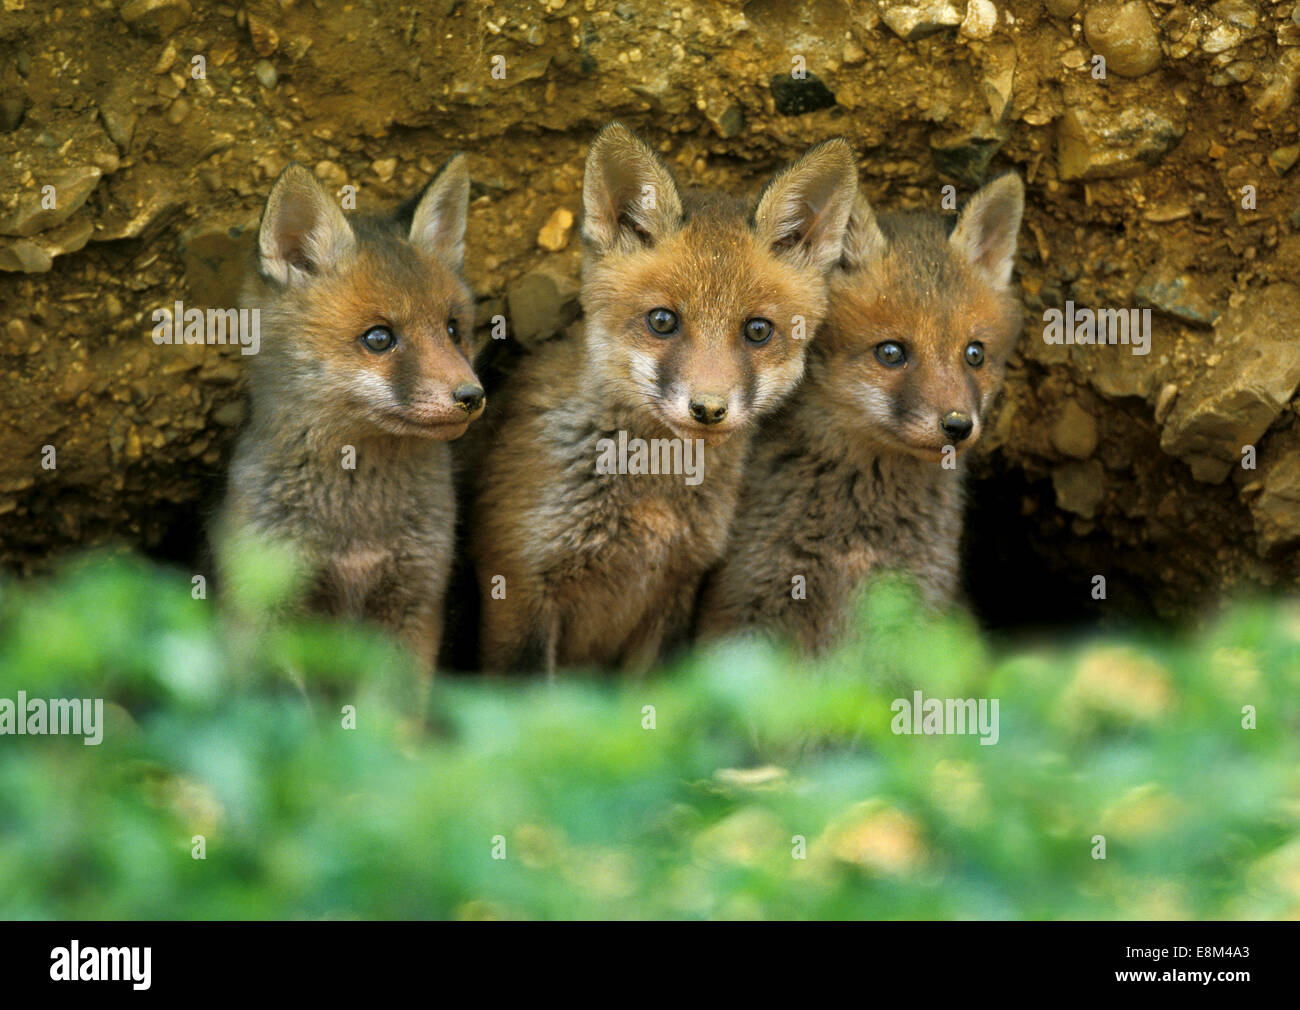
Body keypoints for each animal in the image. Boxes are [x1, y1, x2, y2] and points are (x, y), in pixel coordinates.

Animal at [212, 156, 484, 673]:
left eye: (453, 329)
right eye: (379, 338)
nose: (471, 396)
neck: (358, 529)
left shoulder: (415, 602)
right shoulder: (267, 609)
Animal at [466, 123, 858, 674]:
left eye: (758, 330)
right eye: (662, 320)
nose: (708, 408)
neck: (651, 501)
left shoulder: (675, 591)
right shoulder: (520, 582)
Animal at [695, 173, 1026, 655]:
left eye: (975, 355)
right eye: (890, 352)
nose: (958, 425)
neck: (859, 528)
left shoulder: (918, 605)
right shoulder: (750, 596)